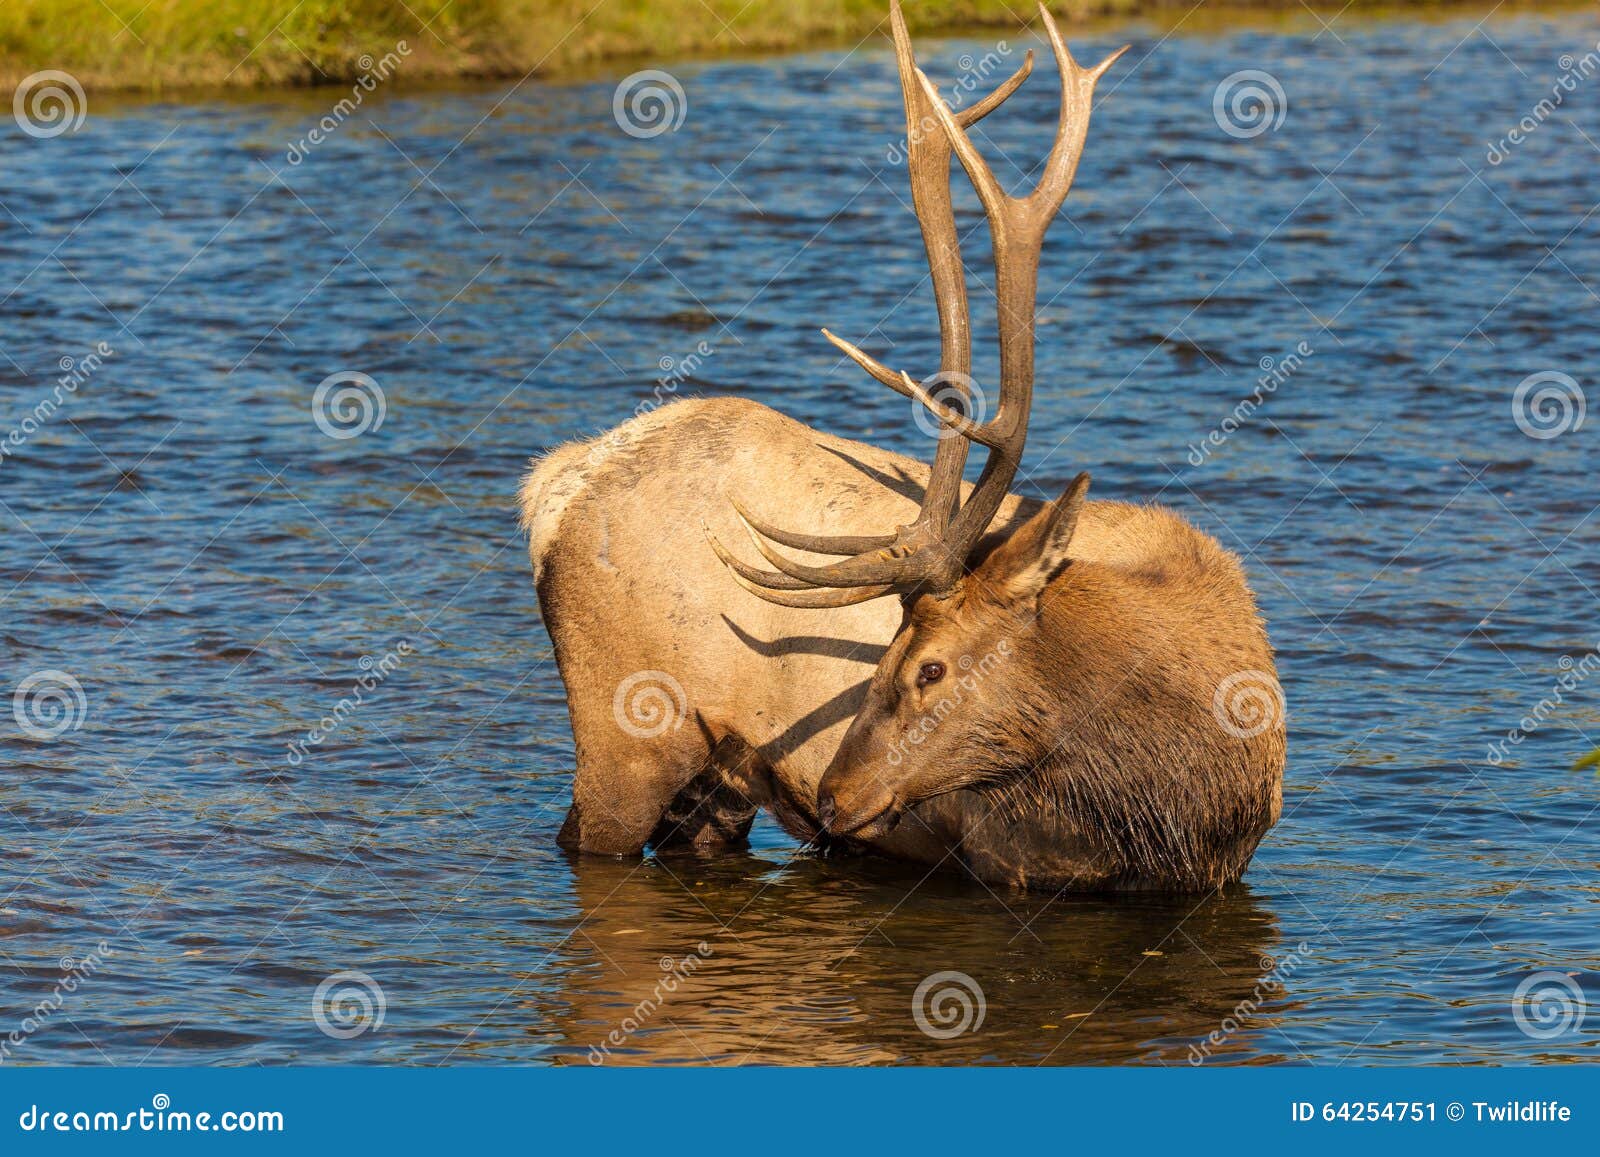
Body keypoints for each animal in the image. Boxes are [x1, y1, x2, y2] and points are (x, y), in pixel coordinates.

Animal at [519, 0, 1285, 892]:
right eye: (886, 653)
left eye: (928, 667)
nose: (834, 794)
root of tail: (554, 486)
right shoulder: (995, 853)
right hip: (627, 727)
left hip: (720, 777)